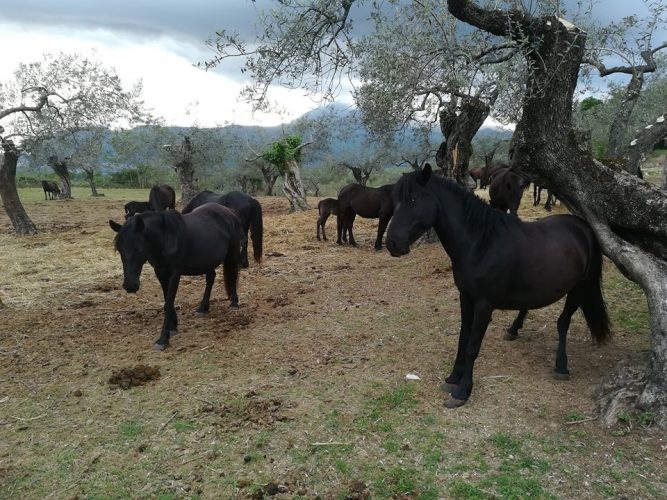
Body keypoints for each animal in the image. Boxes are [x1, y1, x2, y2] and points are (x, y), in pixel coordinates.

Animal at [109, 203, 241, 350]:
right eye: (119, 250)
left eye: (139, 249)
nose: (130, 285)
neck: (166, 238)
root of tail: (229, 211)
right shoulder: (160, 273)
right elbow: (167, 301)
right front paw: (173, 328)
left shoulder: (175, 274)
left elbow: (168, 303)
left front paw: (162, 339)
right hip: (207, 260)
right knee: (211, 278)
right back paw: (202, 308)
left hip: (232, 253)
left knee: (232, 275)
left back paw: (234, 303)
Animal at [385, 163, 610, 408]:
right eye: (396, 200)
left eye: (413, 199)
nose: (392, 243)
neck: (481, 243)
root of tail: (584, 227)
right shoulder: (466, 298)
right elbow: (463, 338)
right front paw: (453, 378)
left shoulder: (484, 304)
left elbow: (473, 346)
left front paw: (462, 391)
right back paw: (514, 329)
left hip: (579, 288)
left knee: (563, 323)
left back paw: (561, 366)